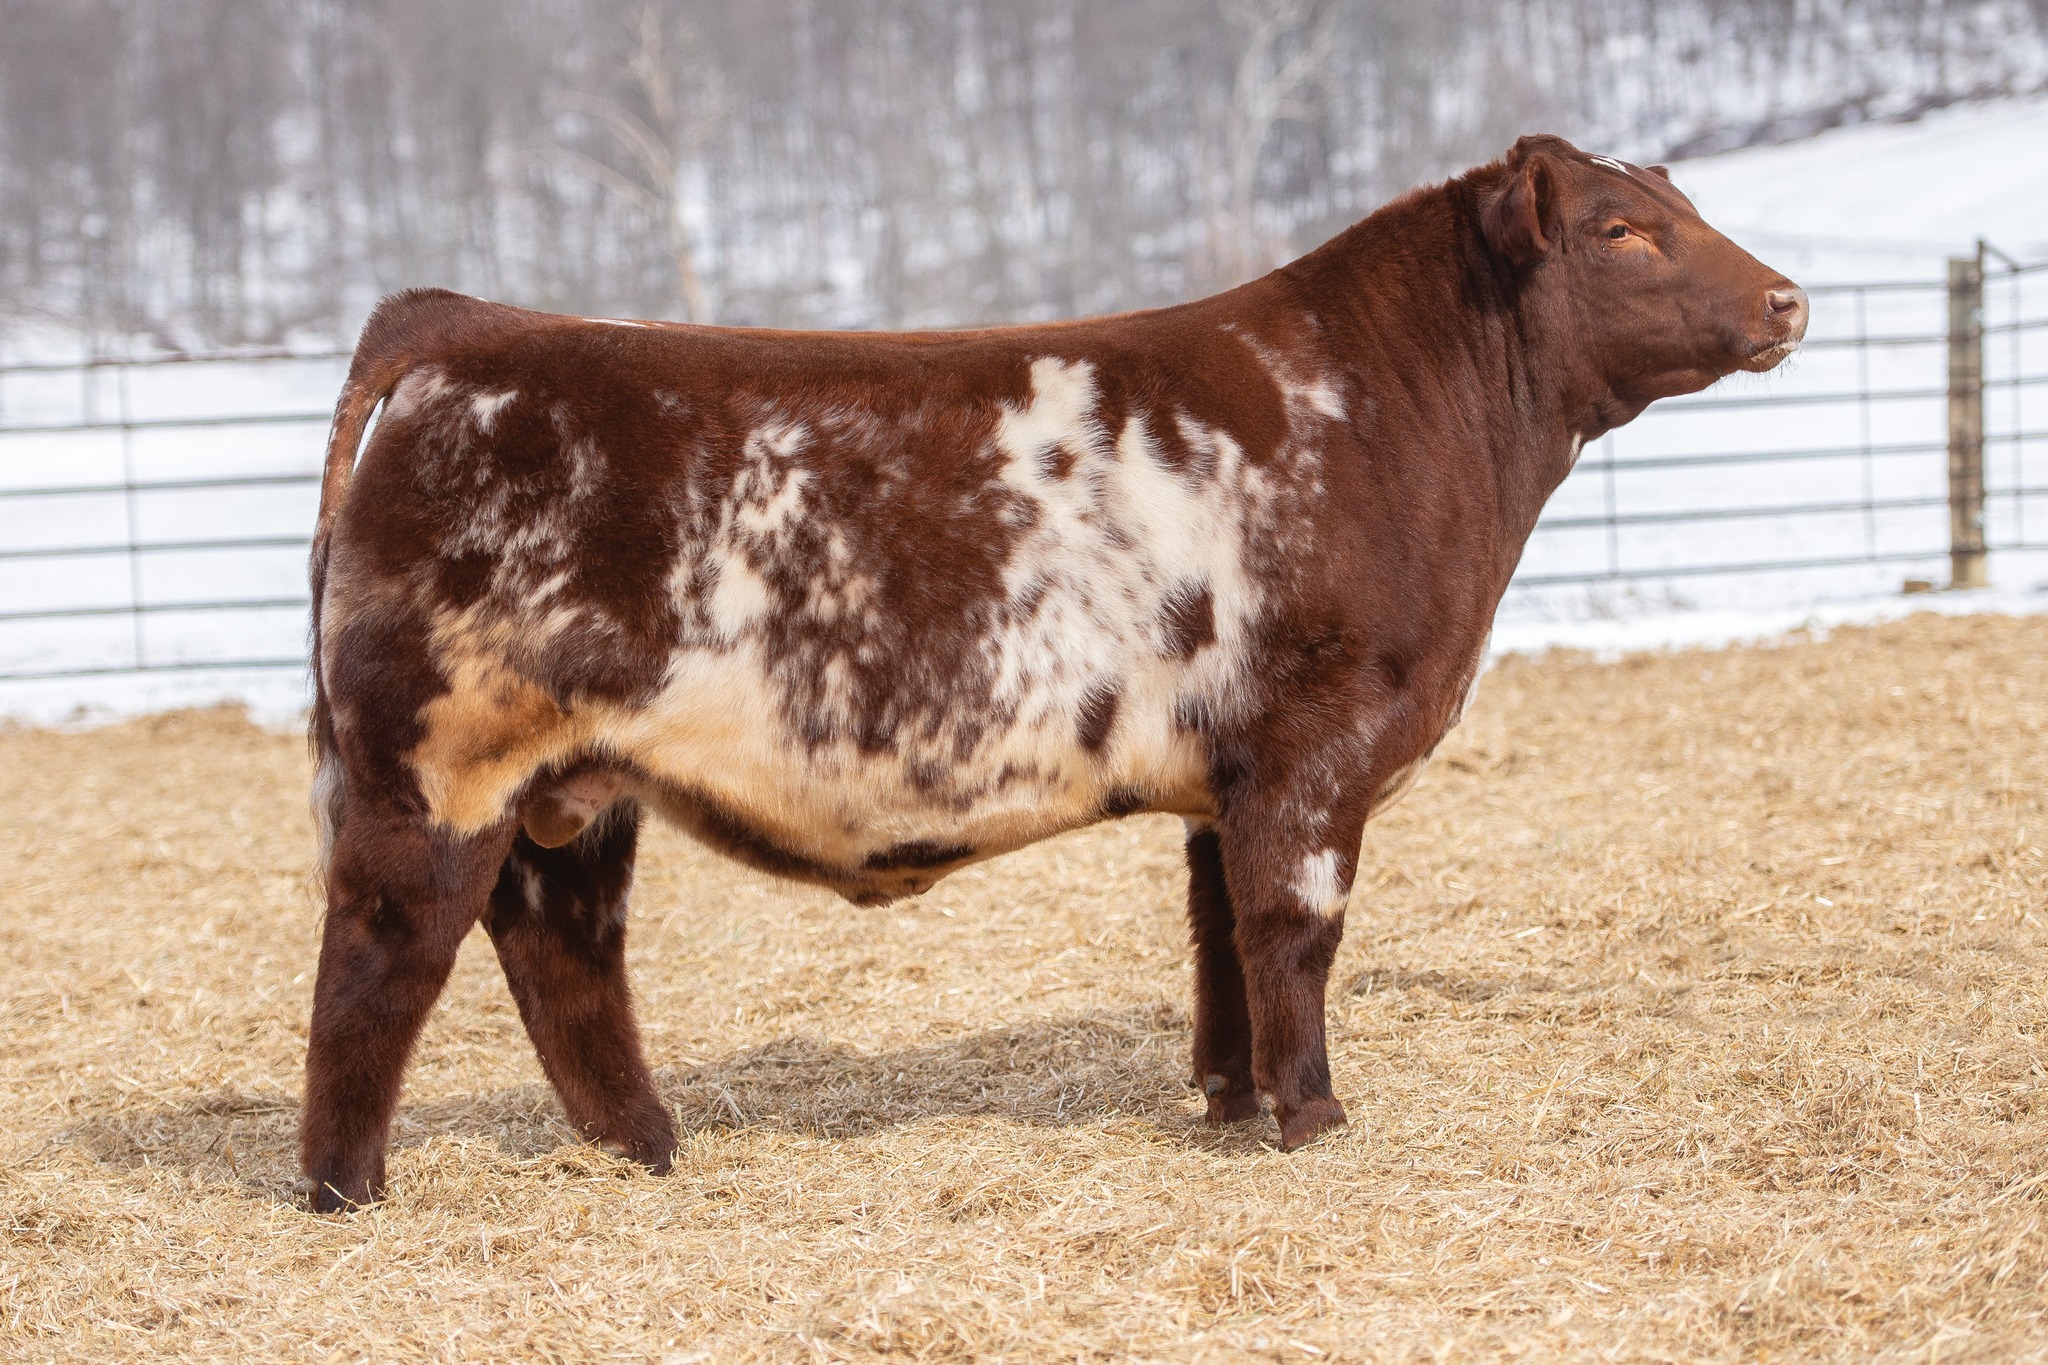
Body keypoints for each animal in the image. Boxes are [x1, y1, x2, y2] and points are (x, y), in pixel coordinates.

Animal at [298, 134, 1807, 1211]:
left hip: (573, 782)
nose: (1786, 296)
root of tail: (468, 326)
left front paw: (1232, 1102)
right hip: (434, 761)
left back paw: (647, 1150)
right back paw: (345, 1189)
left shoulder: (1227, 773)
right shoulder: (1313, 747)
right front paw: (1314, 1116)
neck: (1390, 411)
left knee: (561, 947)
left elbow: (1217, 934)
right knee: (382, 949)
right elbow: (1292, 929)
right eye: (1620, 230)